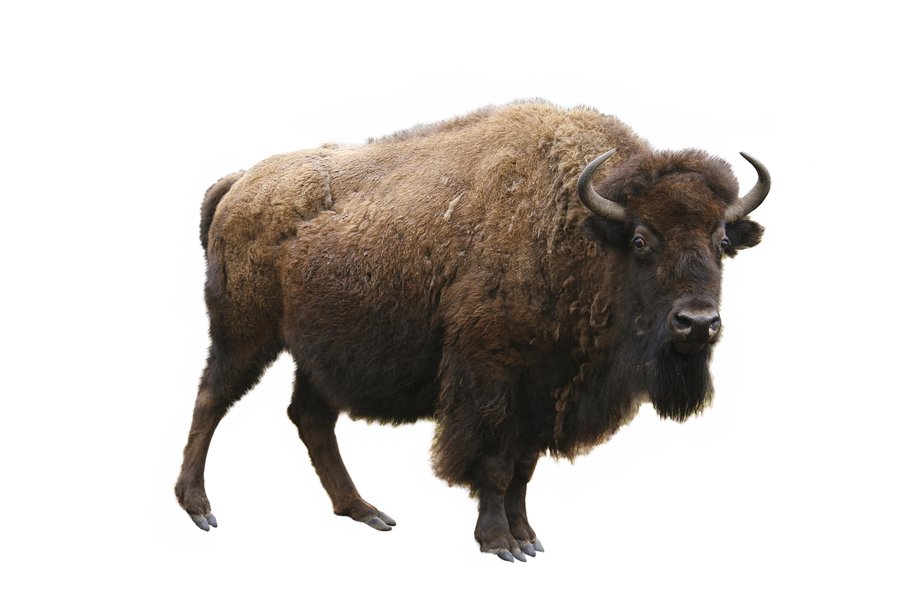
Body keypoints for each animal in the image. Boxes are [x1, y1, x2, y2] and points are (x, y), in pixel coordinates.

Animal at [175, 101, 770, 562]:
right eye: (642, 240)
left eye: (721, 241)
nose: (697, 323)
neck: (581, 231)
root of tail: (239, 183)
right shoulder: (491, 380)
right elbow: (495, 464)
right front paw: (500, 543)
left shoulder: (543, 392)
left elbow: (524, 469)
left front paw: (528, 537)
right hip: (244, 334)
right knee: (212, 398)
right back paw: (198, 507)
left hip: (315, 353)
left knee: (311, 418)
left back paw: (365, 512)